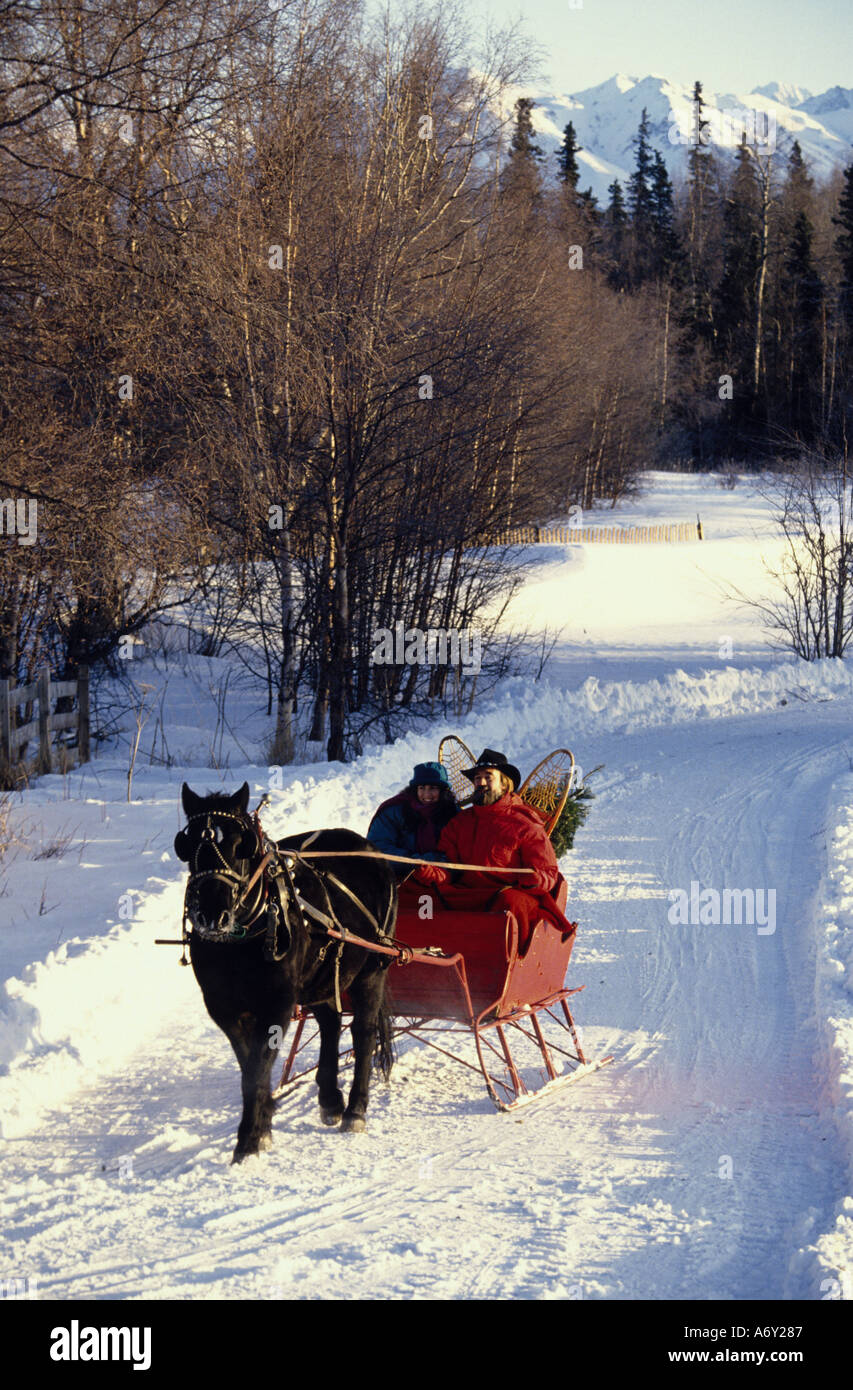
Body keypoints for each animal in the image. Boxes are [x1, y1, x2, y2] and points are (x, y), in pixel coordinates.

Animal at [174, 782, 398, 1162]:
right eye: (188, 845)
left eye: (241, 844)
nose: (212, 914)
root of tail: (369, 848)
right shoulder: (223, 1007)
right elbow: (248, 1064)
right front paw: (262, 1124)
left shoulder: (277, 1003)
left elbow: (257, 1066)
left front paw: (249, 1140)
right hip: (322, 975)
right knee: (330, 1022)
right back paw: (330, 1099)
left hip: (371, 970)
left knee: (363, 1033)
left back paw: (355, 1109)